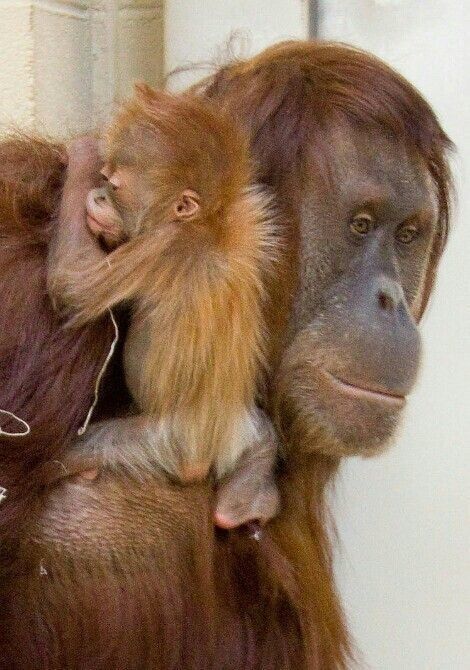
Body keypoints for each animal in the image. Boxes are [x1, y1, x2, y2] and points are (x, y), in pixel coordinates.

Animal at [46, 85, 281, 529]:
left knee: (77, 452)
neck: (206, 224)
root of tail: (206, 453)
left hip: (162, 445)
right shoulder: (250, 215)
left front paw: (81, 154)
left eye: (113, 185)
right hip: (235, 426)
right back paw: (247, 497)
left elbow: (74, 282)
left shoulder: (160, 250)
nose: (97, 193)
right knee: (260, 436)